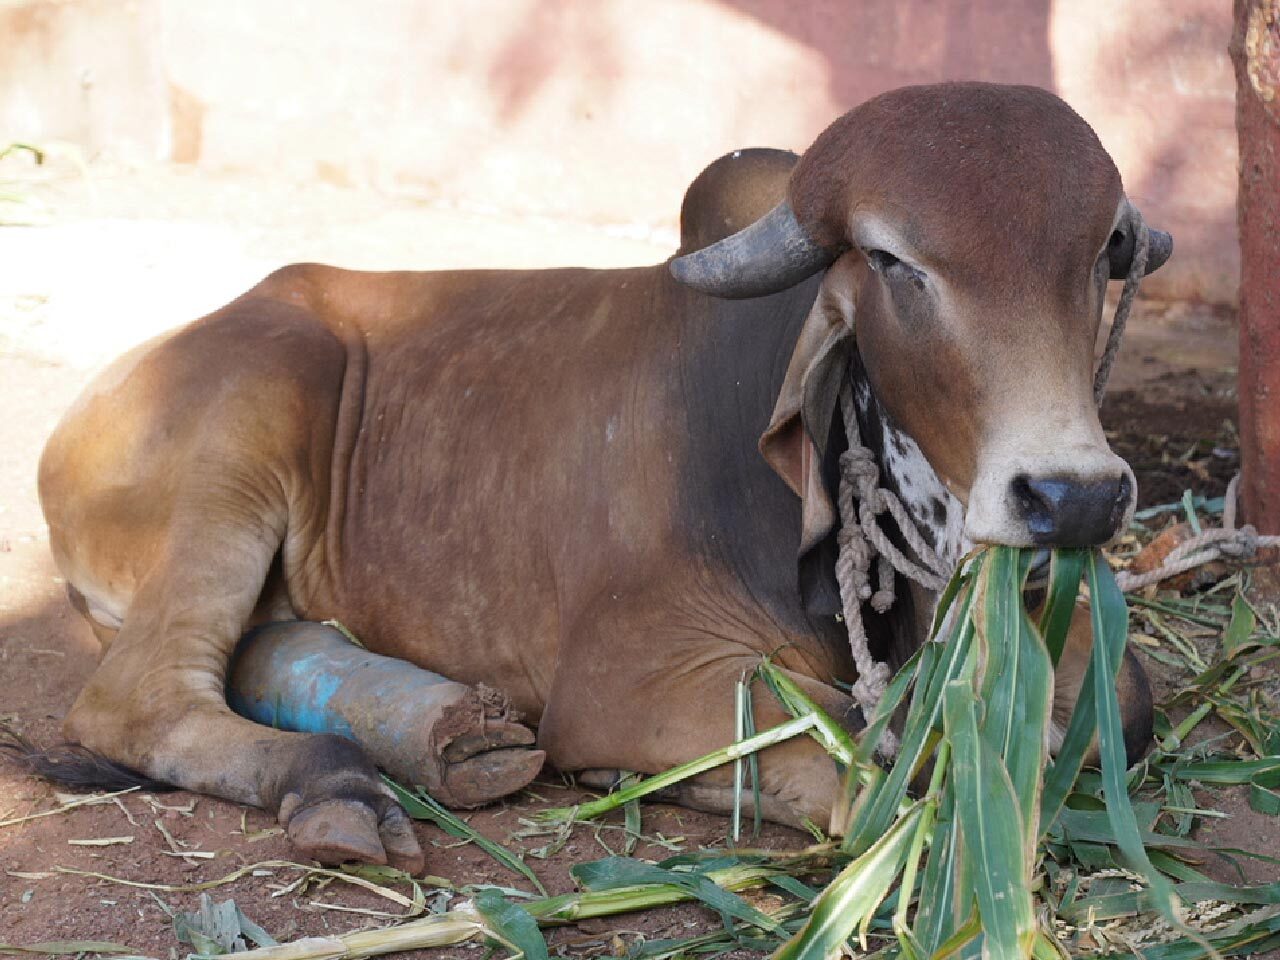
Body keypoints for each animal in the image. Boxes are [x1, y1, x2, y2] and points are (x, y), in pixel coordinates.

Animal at [26, 82, 1163, 873]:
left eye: (1099, 250)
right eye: (891, 261)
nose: (1073, 497)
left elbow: (1120, 709)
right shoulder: (635, 675)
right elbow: (861, 746)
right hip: (248, 429)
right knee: (132, 705)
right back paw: (338, 783)